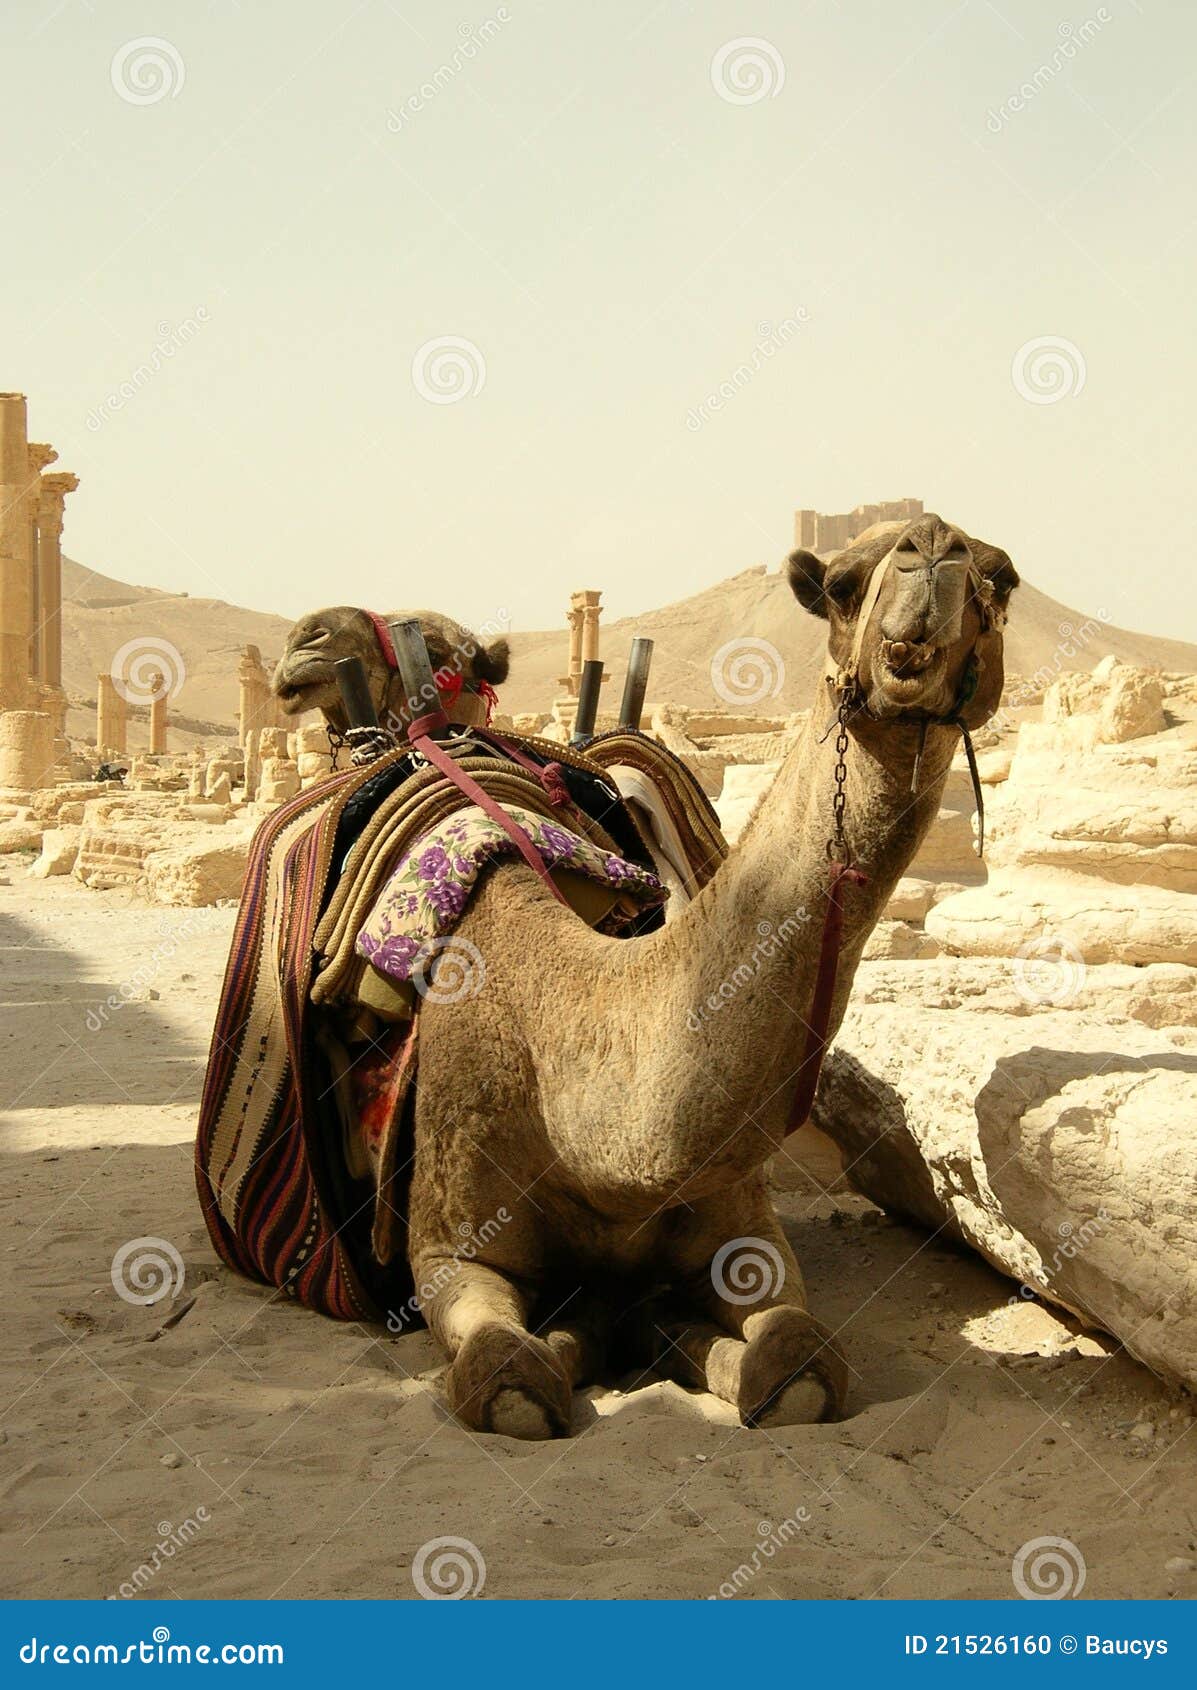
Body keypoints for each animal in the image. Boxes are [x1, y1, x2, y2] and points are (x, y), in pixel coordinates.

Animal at [287, 515, 1018, 1440]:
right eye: (841, 584)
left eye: (1003, 575)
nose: (932, 549)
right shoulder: (450, 1244)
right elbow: (507, 1377)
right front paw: (579, 1341)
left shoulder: (742, 1225)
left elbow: (800, 1358)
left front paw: (677, 1334)